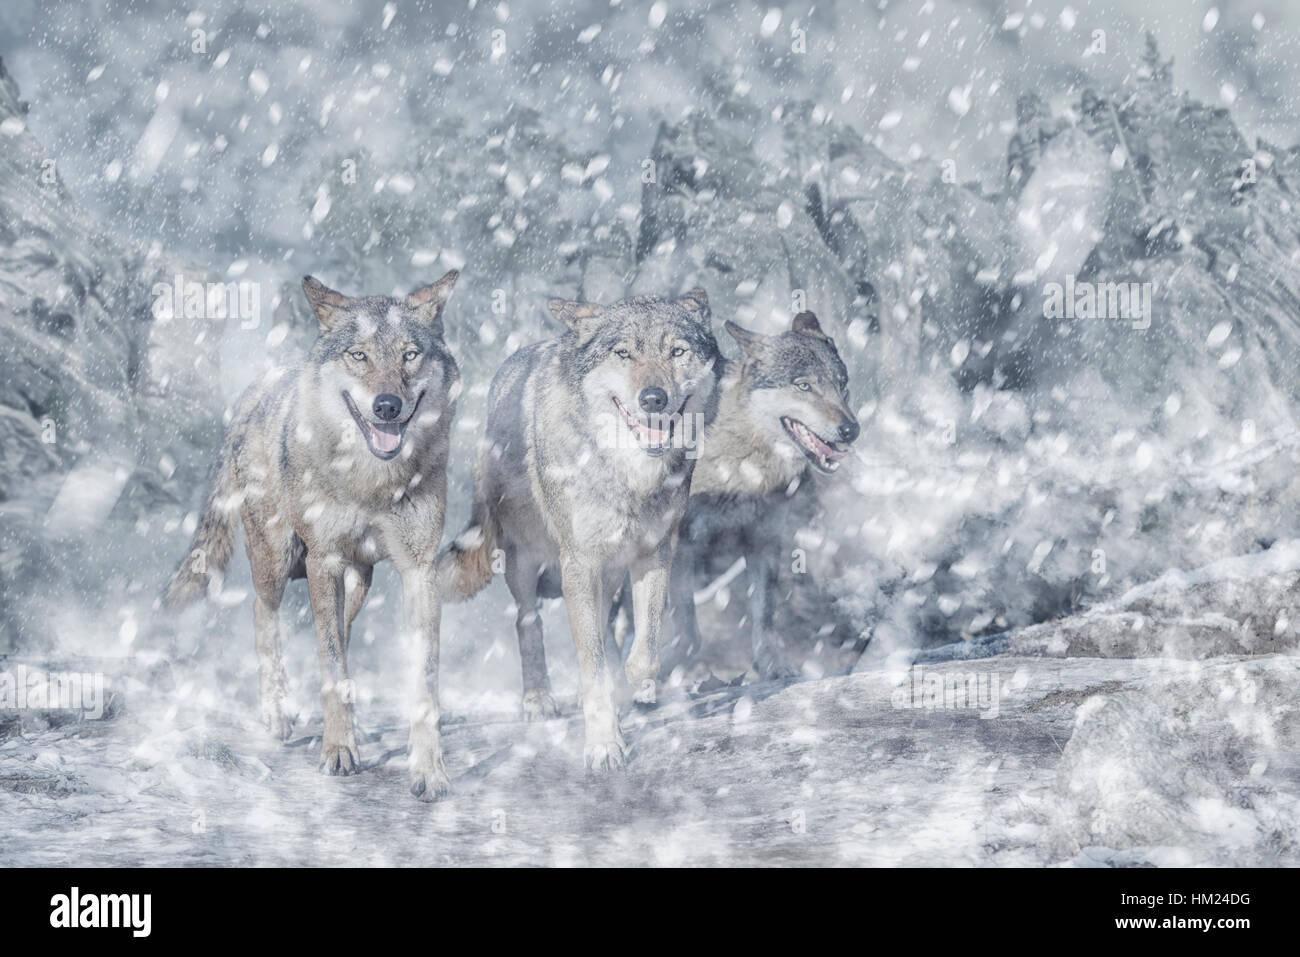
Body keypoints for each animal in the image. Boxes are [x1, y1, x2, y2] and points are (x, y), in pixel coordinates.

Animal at [164, 271, 461, 800]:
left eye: (410, 355)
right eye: (359, 355)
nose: (388, 405)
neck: (373, 482)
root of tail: (258, 387)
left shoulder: (419, 570)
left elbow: (421, 678)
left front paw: (429, 771)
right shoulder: (323, 561)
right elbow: (331, 662)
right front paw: (339, 751)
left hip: (357, 581)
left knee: (341, 631)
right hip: (278, 560)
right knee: (263, 611)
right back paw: (278, 712)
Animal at [439, 291, 721, 768]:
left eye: (677, 351)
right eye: (623, 354)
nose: (653, 398)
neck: (629, 475)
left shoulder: (654, 554)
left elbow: (644, 648)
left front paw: (632, 683)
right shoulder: (579, 565)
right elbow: (592, 663)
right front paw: (605, 744)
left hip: (609, 574)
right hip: (523, 562)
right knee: (527, 622)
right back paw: (538, 699)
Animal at [655, 311, 860, 678]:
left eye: (841, 384)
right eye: (804, 385)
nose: (852, 429)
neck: (744, 471)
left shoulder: (763, 542)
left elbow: (764, 616)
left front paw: (771, 666)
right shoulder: (680, 548)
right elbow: (688, 633)